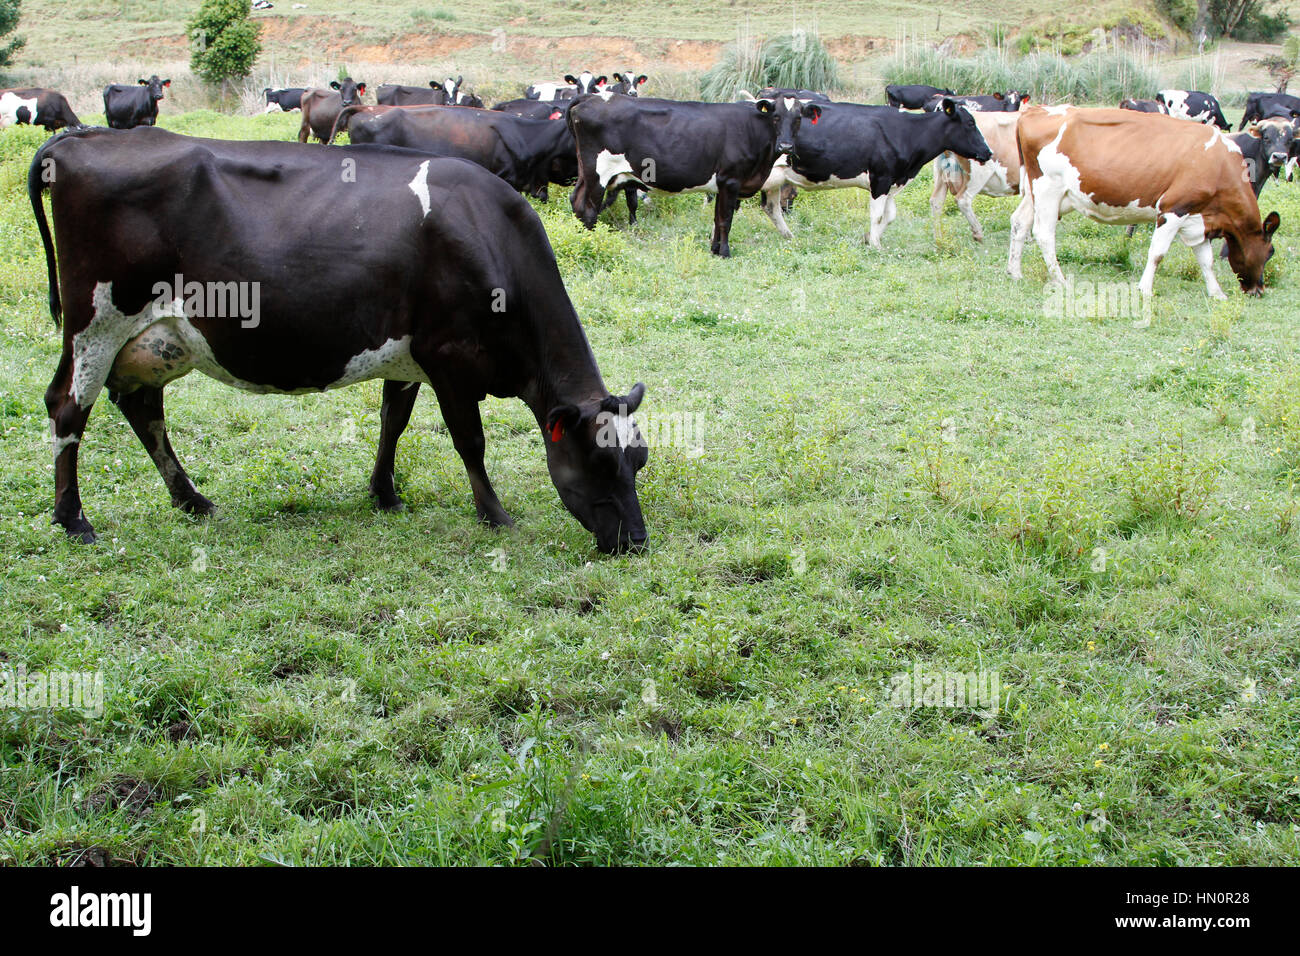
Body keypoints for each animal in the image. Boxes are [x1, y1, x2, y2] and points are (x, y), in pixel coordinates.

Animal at [28, 127, 650, 554]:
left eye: (638, 459)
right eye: (598, 461)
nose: (636, 541)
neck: (489, 235)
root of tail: (86, 135)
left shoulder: (407, 354)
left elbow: (393, 421)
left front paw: (384, 494)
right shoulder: (448, 358)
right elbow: (469, 441)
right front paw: (494, 514)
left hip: (155, 340)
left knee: (140, 407)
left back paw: (192, 501)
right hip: (96, 322)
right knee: (68, 407)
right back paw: (73, 519)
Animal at [568, 94, 791, 256]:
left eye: (796, 118)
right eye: (776, 117)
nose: (786, 146)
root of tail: (590, 97)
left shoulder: (721, 185)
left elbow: (717, 218)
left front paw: (715, 250)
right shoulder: (731, 181)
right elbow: (726, 219)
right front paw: (725, 253)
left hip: (585, 173)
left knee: (575, 199)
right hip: (597, 174)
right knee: (587, 208)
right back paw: (590, 241)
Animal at [760, 98, 992, 246]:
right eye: (970, 123)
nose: (988, 152)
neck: (906, 132)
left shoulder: (892, 180)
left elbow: (889, 216)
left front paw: (869, 238)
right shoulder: (880, 178)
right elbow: (878, 215)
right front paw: (875, 243)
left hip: (775, 179)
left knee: (771, 208)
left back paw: (789, 236)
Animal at [929, 110, 1021, 242]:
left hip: (940, 172)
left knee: (936, 201)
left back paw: (939, 240)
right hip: (978, 173)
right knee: (963, 199)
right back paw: (978, 233)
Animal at [1007, 106, 1280, 298]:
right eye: (1270, 252)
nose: (1258, 290)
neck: (1219, 164)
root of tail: (1036, 110)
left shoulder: (1198, 217)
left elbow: (1206, 260)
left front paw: (1216, 293)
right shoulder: (1173, 209)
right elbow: (1157, 253)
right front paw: (1145, 289)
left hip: (1038, 192)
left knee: (1020, 222)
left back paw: (1015, 271)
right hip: (1048, 189)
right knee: (1044, 233)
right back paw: (1059, 278)